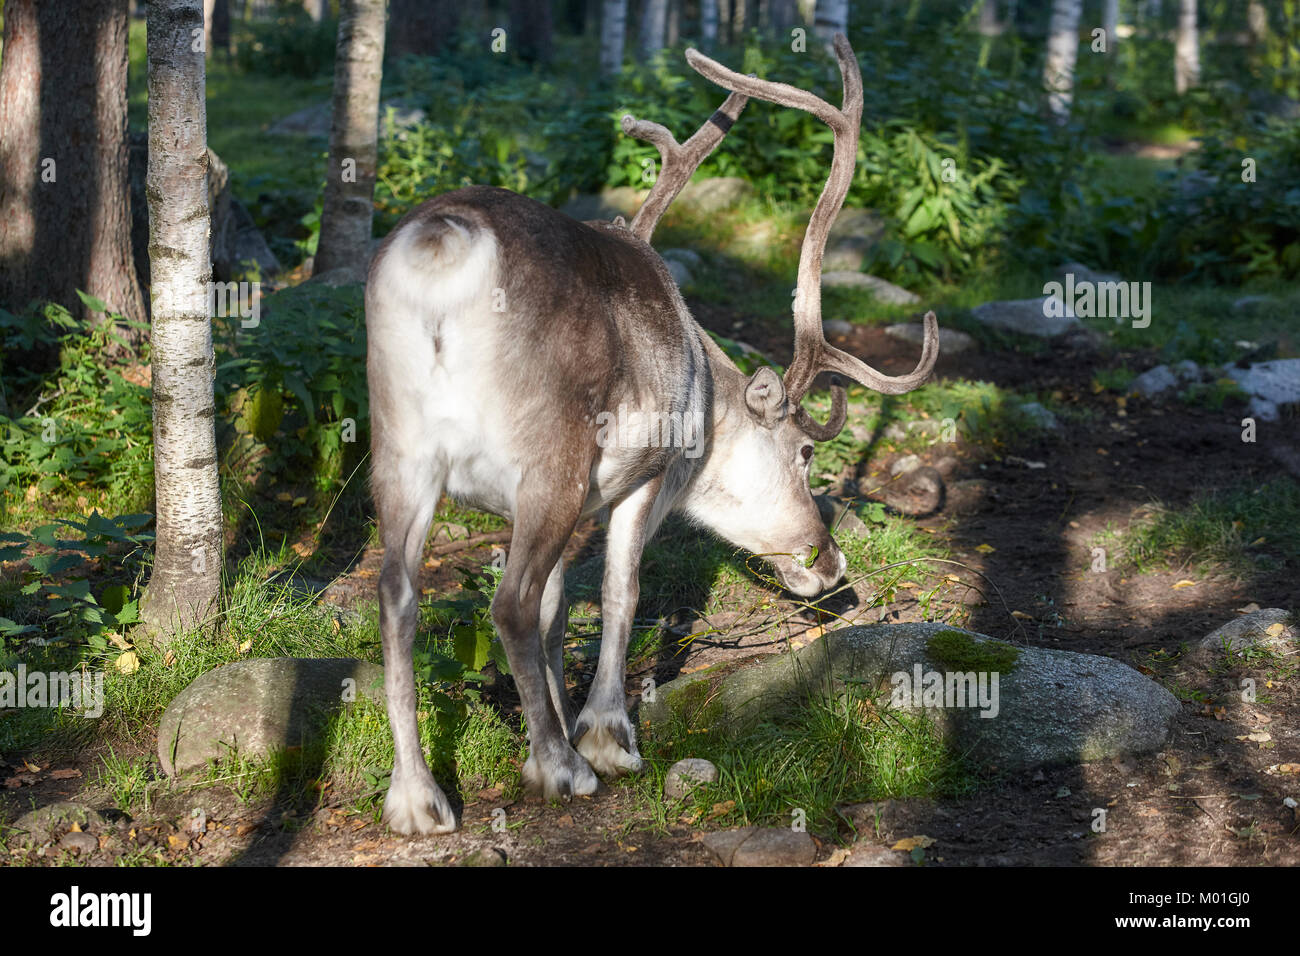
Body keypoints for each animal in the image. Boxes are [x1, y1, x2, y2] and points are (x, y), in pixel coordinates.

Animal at [365, 34, 939, 835]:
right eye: (804, 452)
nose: (830, 563)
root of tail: (444, 247)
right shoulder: (644, 478)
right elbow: (619, 590)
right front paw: (605, 736)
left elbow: (556, 609)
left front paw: (560, 719)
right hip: (550, 458)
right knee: (506, 602)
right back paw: (561, 770)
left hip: (400, 450)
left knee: (397, 592)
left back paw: (417, 798)